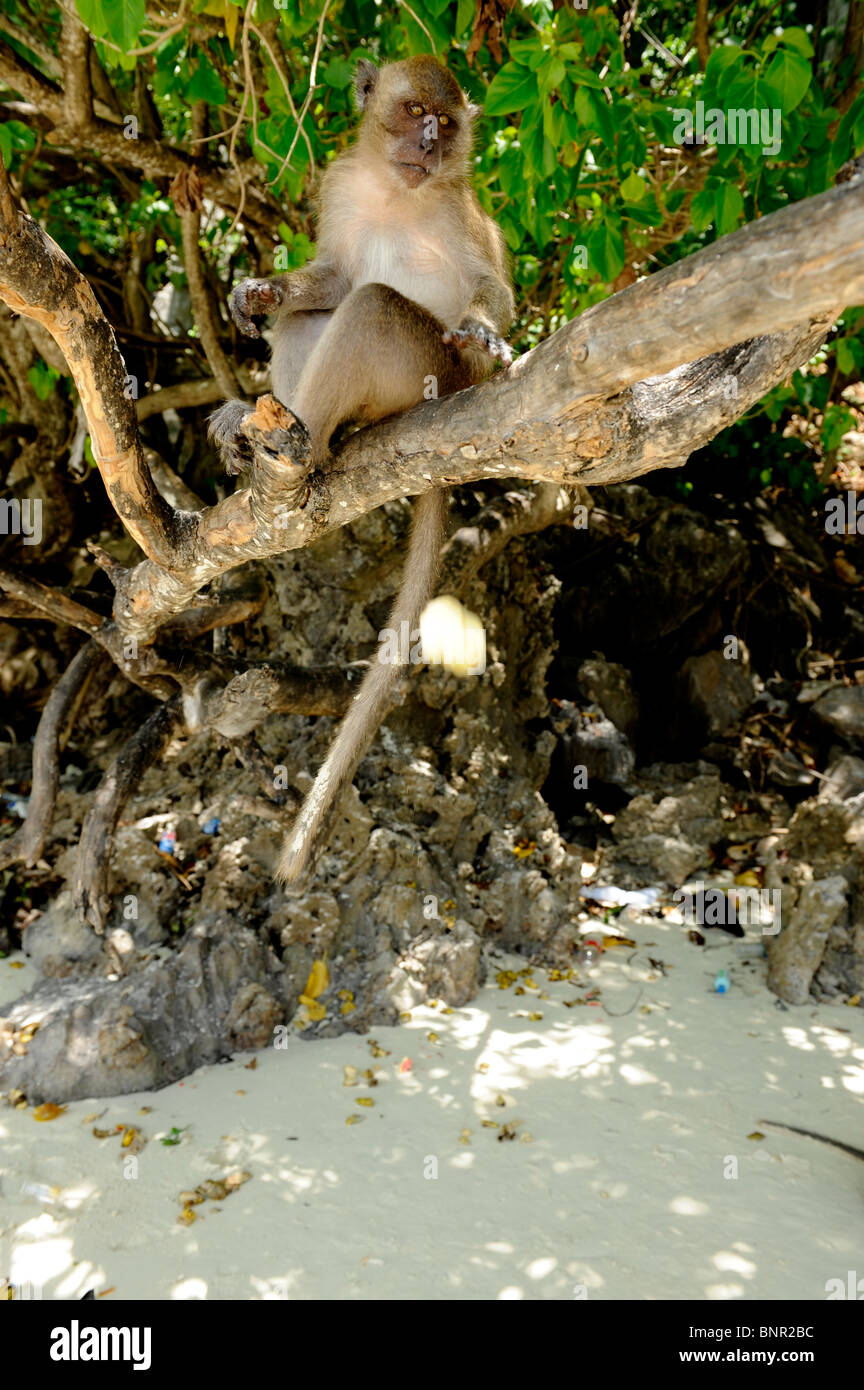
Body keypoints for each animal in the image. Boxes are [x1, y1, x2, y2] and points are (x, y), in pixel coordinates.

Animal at [209, 55, 514, 883]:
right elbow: (330, 278)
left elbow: (490, 293)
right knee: (318, 314)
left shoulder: (458, 218)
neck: (394, 189)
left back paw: (303, 451)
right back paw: (257, 436)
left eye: (447, 121)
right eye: (413, 111)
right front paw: (261, 289)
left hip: (424, 376)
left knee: (374, 309)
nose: (432, 141)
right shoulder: (342, 184)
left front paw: (482, 326)